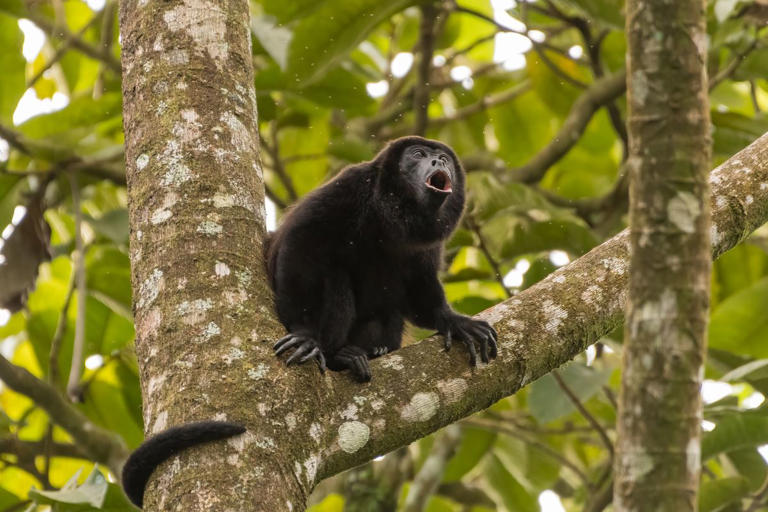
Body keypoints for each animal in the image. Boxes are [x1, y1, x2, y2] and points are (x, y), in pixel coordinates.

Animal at [268, 136, 498, 381]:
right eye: (418, 154)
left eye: (444, 158)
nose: (439, 162)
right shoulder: (350, 186)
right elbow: (301, 245)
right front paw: (304, 333)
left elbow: (419, 282)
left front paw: (453, 320)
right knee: (335, 277)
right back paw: (340, 356)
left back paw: (375, 351)